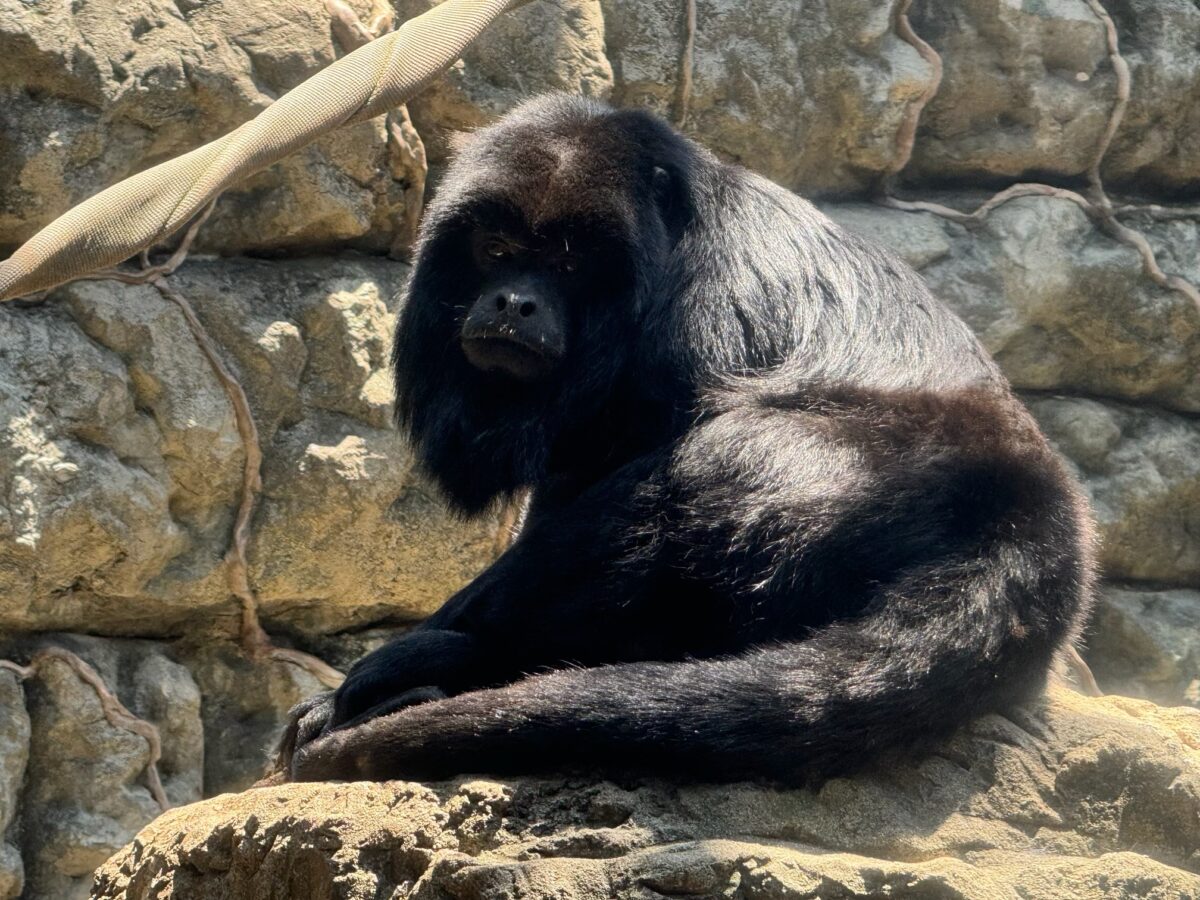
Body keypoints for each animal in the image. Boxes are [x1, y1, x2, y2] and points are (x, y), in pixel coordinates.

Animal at [276, 94, 1094, 784]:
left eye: (568, 261)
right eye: (497, 248)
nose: (513, 301)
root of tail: (1030, 527)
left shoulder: (696, 326)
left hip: (839, 469)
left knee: (702, 470)